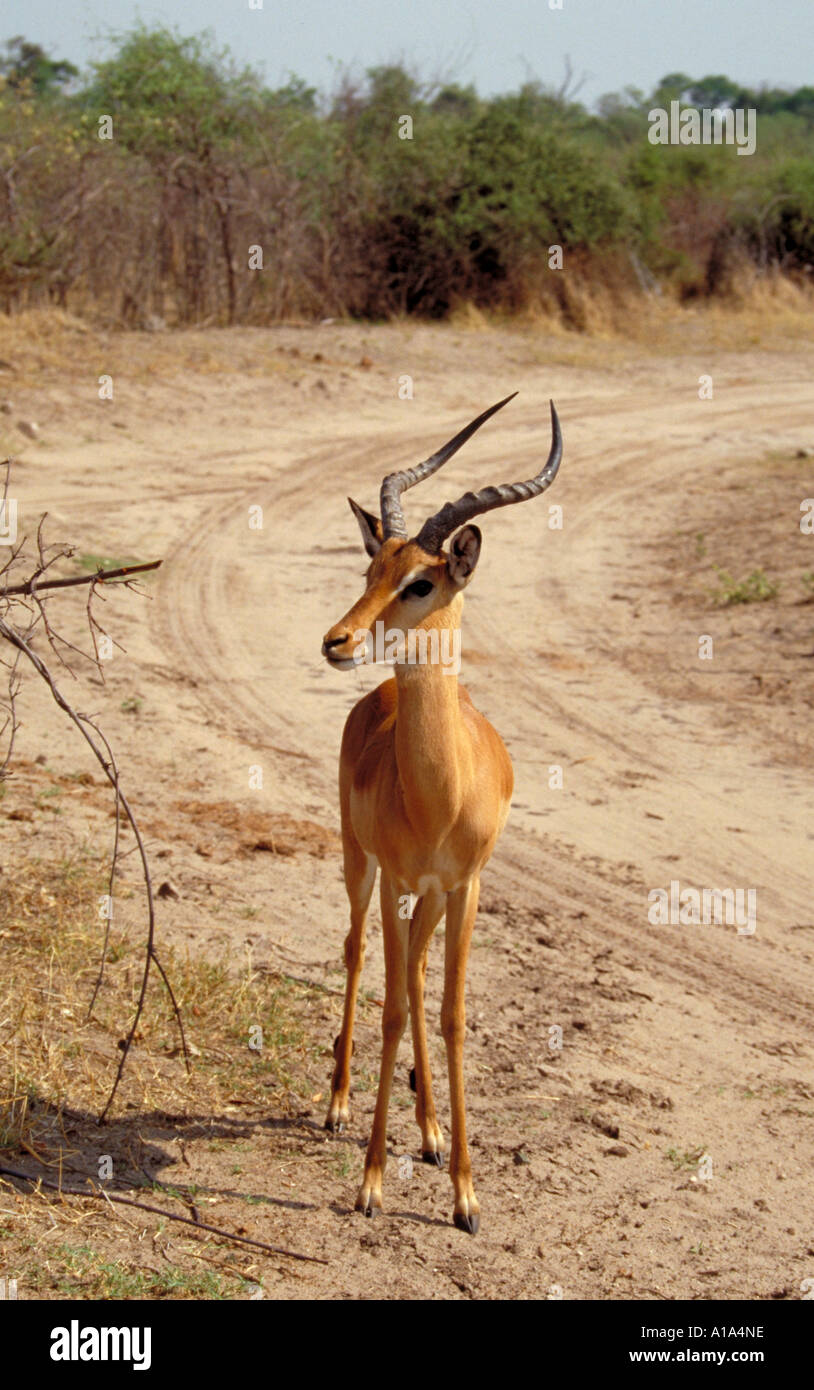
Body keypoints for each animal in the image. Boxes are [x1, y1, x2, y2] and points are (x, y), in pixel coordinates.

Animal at [321, 393, 563, 1233]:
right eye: (371, 568)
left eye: (421, 583)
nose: (338, 640)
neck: (440, 797)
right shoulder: (397, 877)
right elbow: (392, 1008)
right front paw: (369, 1184)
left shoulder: (467, 887)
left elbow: (453, 1012)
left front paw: (464, 1192)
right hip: (360, 869)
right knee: (362, 954)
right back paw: (337, 1106)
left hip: (426, 897)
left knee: (419, 975)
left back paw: (426, 1132)